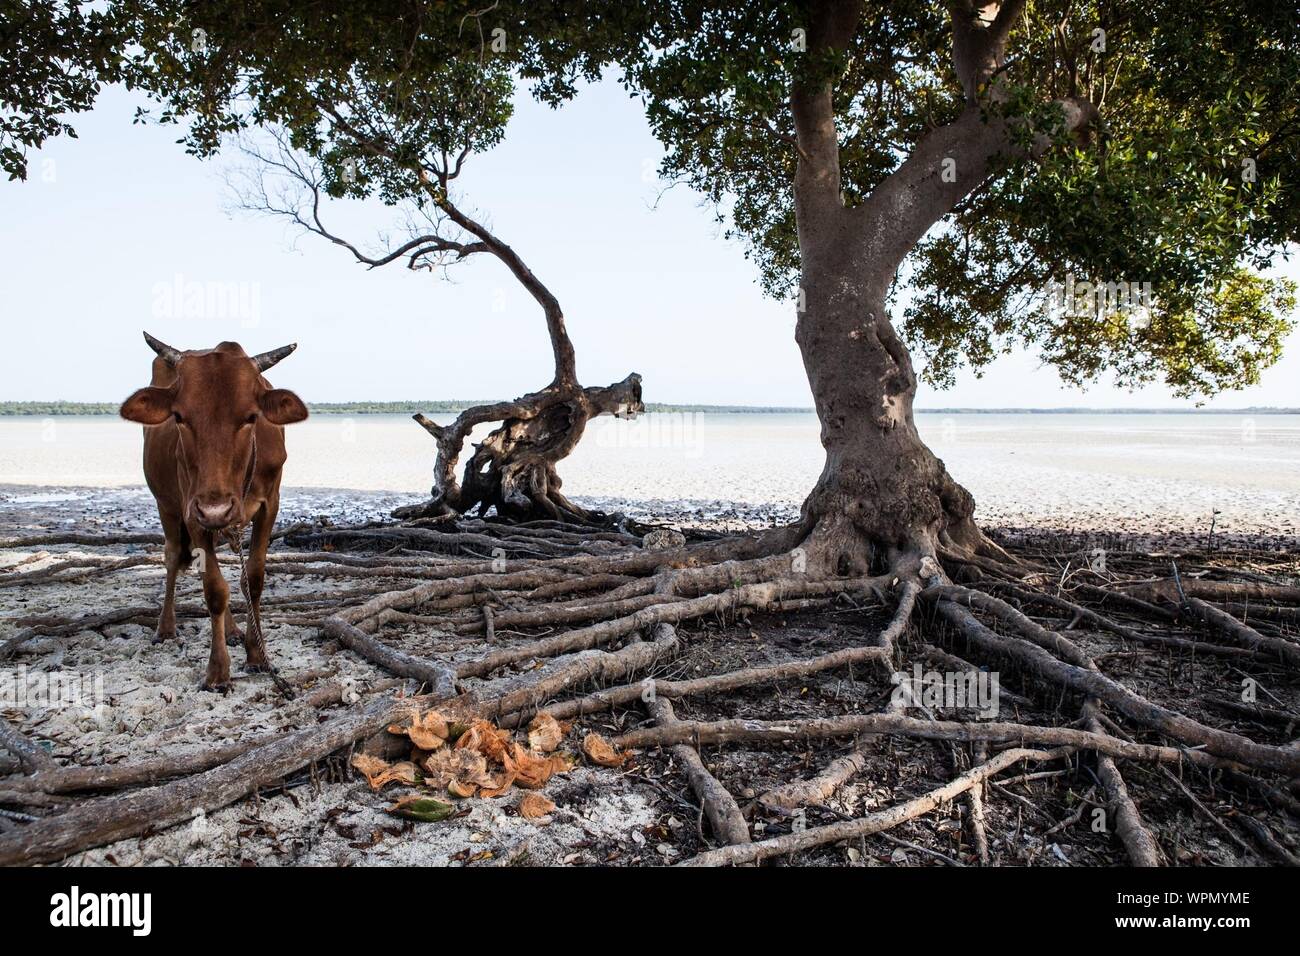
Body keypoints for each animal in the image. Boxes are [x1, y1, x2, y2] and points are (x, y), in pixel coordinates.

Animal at [119, 333, 308, 690]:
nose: (216, 508)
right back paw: (166, 627)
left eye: (251, 417)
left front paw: (256, 653)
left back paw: (232, 630)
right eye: (179, 417)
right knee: (173, 557)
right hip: (168, 506)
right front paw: (218, 670)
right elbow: (215, 589)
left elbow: (253, 579)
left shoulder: (270, 505)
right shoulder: (193, 511)